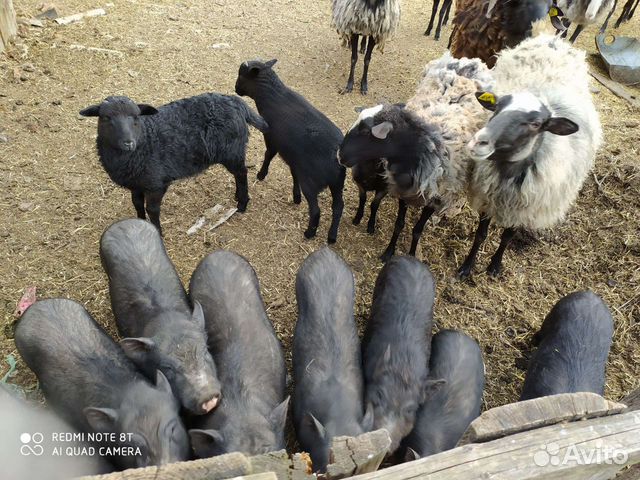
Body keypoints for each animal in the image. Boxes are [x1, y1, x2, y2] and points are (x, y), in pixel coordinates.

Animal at [80, 94, 267, 234]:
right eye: (106, 118)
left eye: (136, 117)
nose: (128, 143)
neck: (145, 142)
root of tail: (238, 103)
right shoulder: (137, 183)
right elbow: (137, 204)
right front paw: (140, 223)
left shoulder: (157, 184)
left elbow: (152, 210)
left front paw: (157, 231)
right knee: (238, 174)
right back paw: (238, 197)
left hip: (232, 151)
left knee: (242, 173)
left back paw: (242, 203)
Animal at [235, 59, 346, 244]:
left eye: (241, 75)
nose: (235, 89)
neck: (272, 95)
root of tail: (335, 154)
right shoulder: (293, 156)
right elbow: (293, 173)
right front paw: (296, 196)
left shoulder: (272, 139)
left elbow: (268, 155)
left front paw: (261, 174)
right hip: (337, 183)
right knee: (338, 207)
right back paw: (332, 236)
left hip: (311, 182)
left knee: (316, 210)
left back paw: (309, 233)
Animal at [338, 54, 495, 261]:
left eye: (365, 131)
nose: (340, 155)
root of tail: (470, 61)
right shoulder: (404, 192)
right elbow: (399, 225)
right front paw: (389, 251)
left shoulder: (435, 198)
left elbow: (417, 230)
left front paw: (411, 254)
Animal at [460, 33, 602, 278]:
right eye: (496, 107)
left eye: (536, 124)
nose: (479, 142)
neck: (508, 174)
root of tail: (554, 39)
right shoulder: (488, 195)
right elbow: (481, 234)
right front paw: (467, 266)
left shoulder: (526, 206)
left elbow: (507, 237)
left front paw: (495, 266)